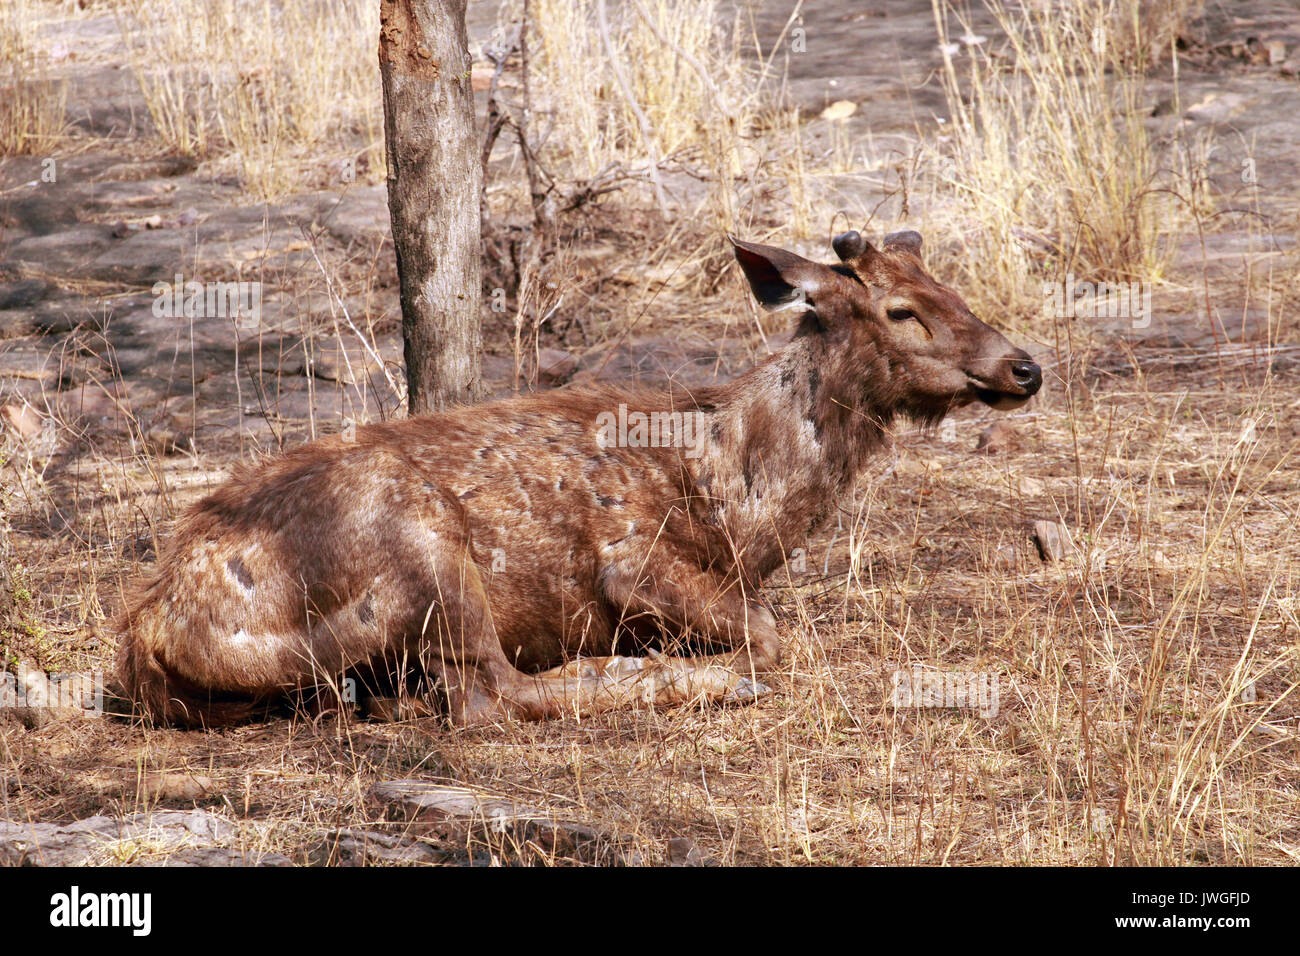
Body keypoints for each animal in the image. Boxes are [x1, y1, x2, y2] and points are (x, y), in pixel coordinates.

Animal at [114, 230, 1042, 728]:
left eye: (952, 289)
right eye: (901, 310)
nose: (1025, 367)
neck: (742, 507)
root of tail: (153, 632)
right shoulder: (631, 559)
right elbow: (772, 634)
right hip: (421, 548)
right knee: (492, 696)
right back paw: (667, 676)